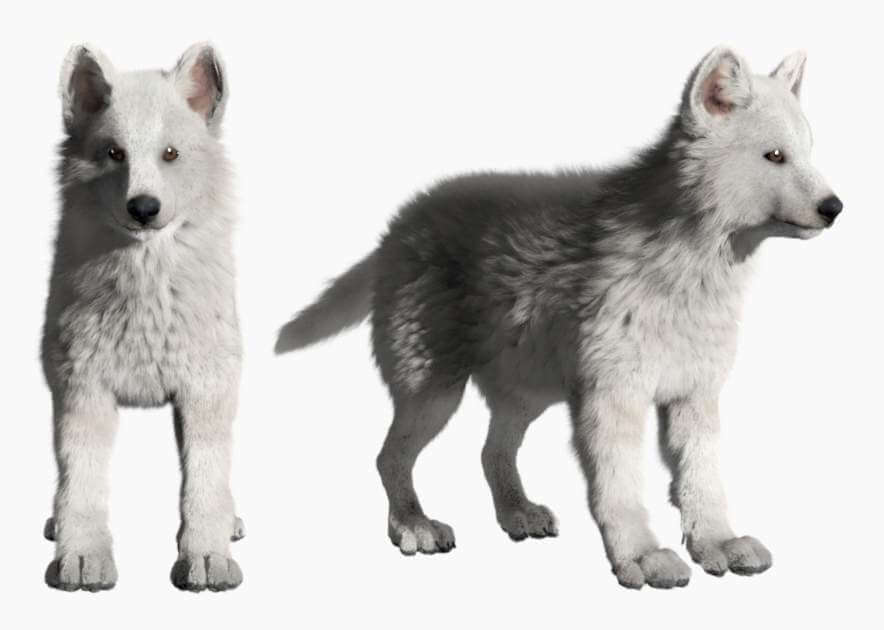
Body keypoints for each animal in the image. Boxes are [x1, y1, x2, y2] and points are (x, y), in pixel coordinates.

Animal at [42, 43, 244, 592]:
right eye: (115, 153)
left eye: (170, 154)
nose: (144, 208)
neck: (146, 294)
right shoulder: (83, 392)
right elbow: (81, 484)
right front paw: (82, 557)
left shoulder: (203, 391)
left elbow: (203, 484)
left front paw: (206, 557)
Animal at [275, 47, 841, 589]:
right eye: (775, 156)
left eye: (809, 152)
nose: (835, 207)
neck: (687, 267)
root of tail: (397, 227)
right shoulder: (612, 399)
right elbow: (620, 489)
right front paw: (641, 558)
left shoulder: (692, 397)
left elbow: (703, 483)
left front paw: (718, 545)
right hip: (435, 393)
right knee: (390, 456)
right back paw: (414, 525)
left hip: (526, 393)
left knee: (490, 452)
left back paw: (516, 513)